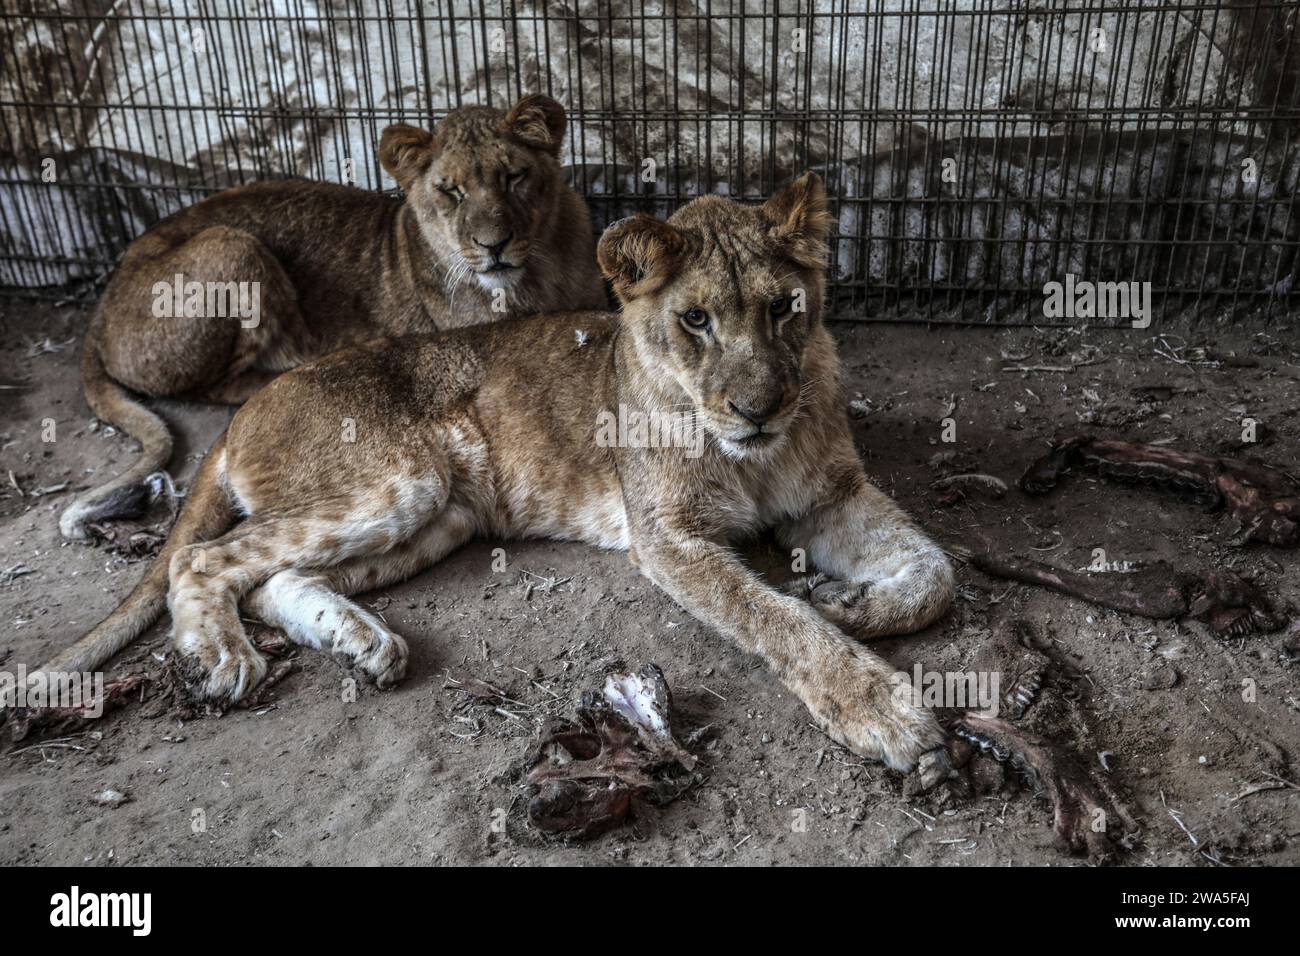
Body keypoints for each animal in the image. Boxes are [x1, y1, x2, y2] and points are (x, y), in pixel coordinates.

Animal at [33, 174, 954, 771]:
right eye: (695, 320)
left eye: (785, 307)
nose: (760, 409)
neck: (752, 453)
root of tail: (244, 414)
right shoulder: (671, 539)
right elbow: (773, 617)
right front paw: (880, 709)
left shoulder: (831, 495)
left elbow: (936, 572)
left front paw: (849, 603)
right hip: (399, 480)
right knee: (206, 559)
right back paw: (223, 657)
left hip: (439, 515)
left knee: (273, 577)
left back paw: (365, 645)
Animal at [60, 94, 607, 541]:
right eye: (450, 191)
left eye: (514, 176)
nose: (494, 246)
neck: (542, 269)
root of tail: (103, 303)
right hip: (232, 245)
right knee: (209, 385)